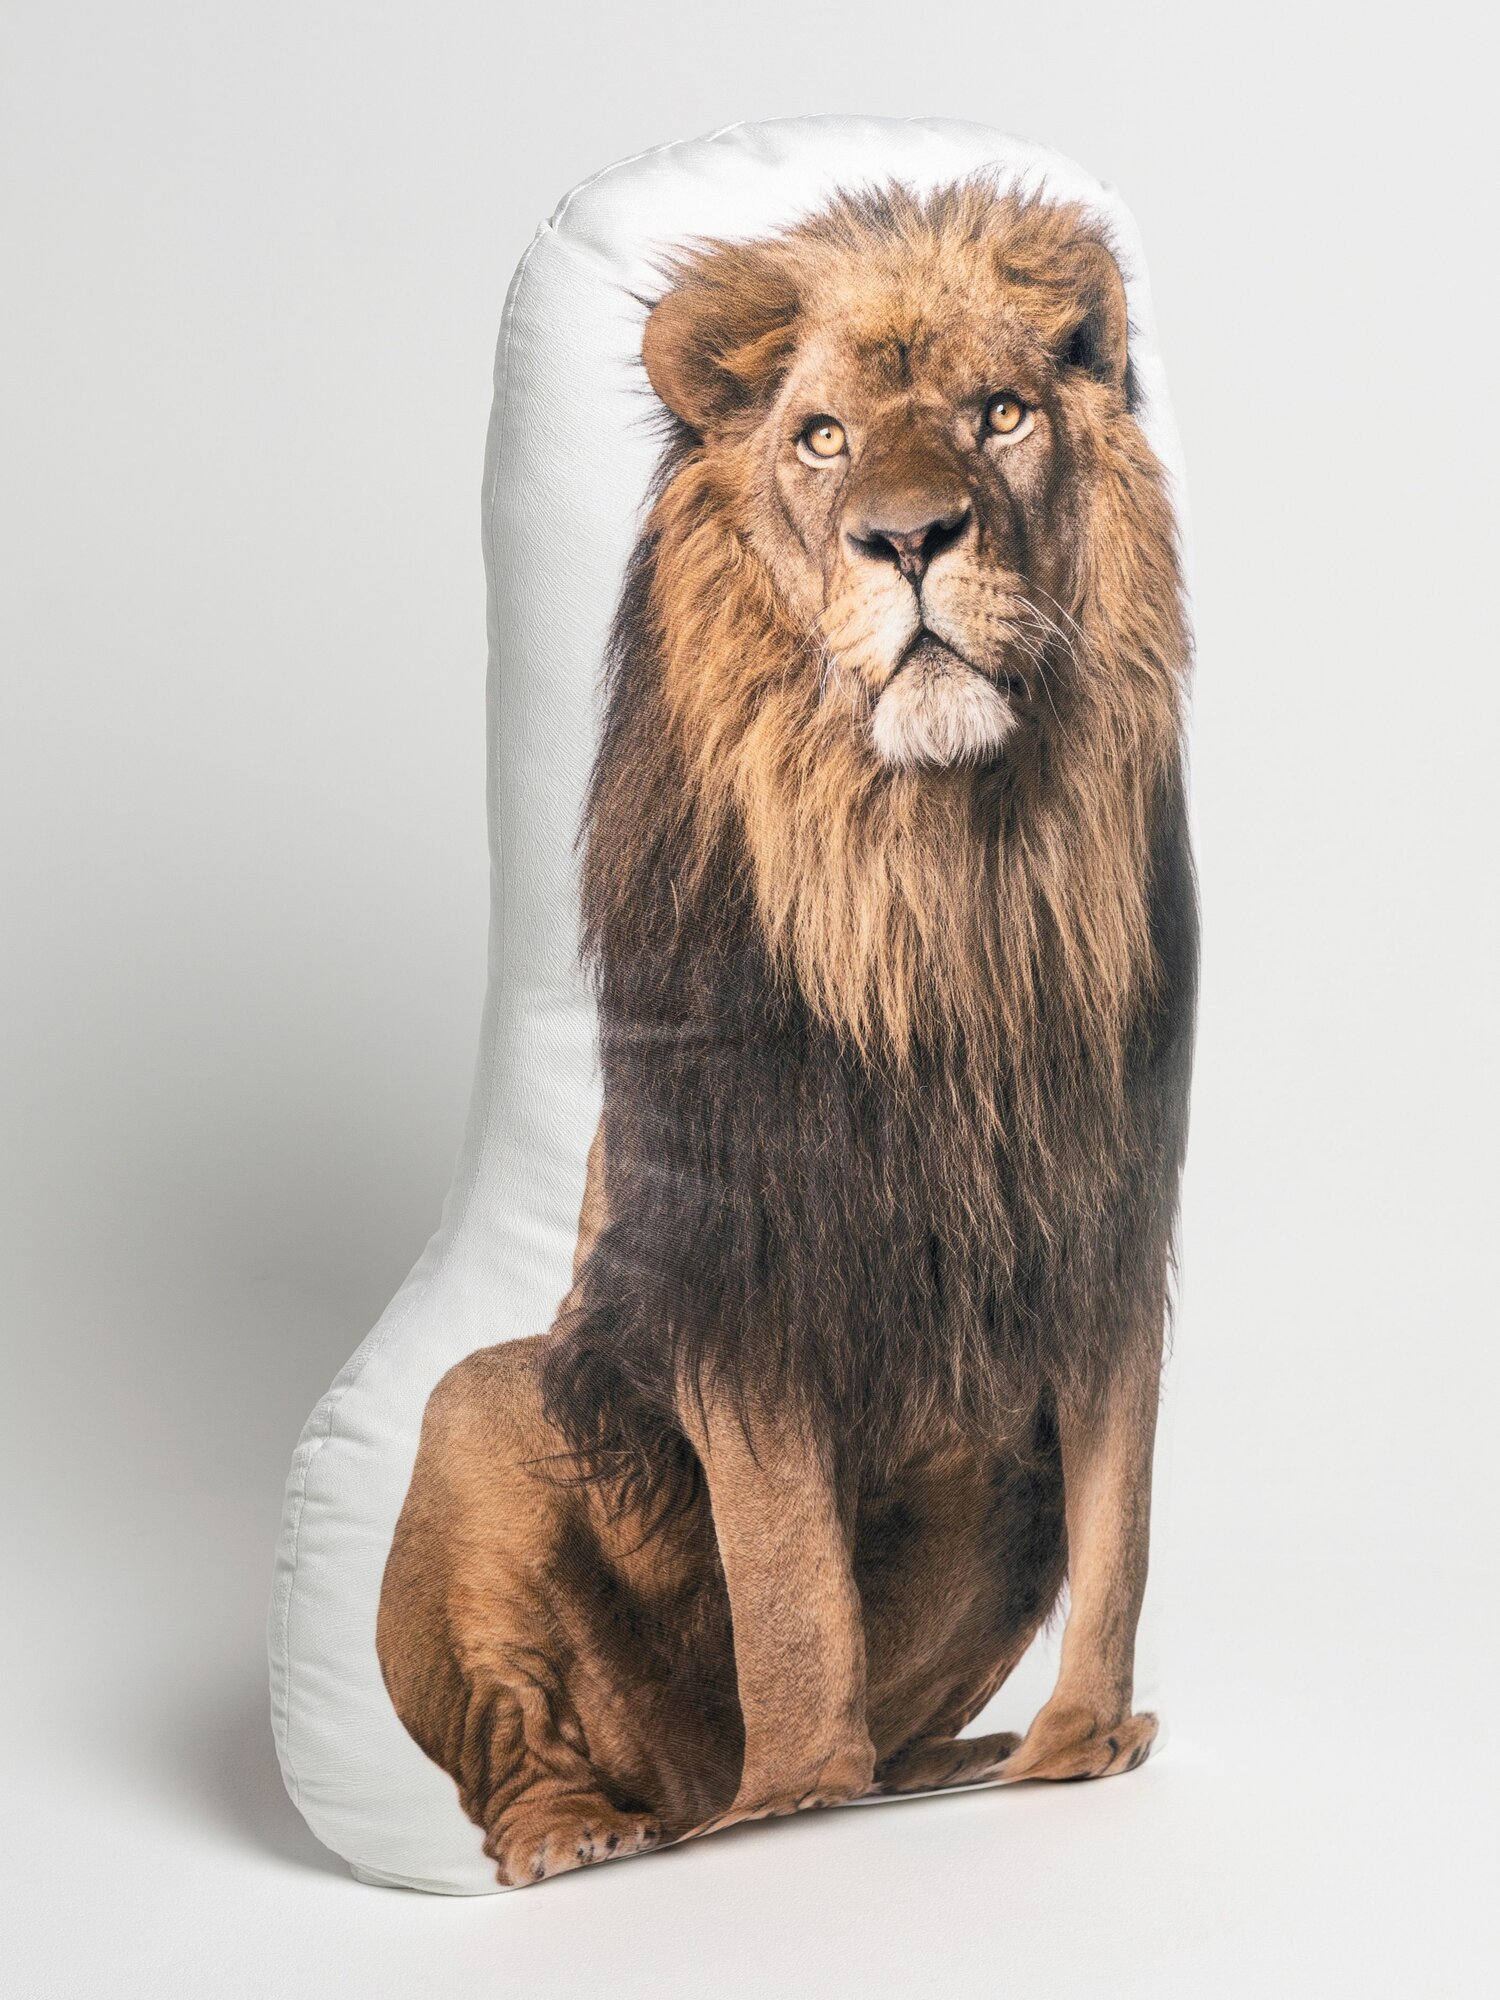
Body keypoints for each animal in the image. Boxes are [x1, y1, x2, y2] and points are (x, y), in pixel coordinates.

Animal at [377, 180, 1197, 1888]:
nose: (909, 538)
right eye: (822, 440)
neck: (939, 881)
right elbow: (794, 1587)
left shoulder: (1105, 1229)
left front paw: (1085, 1745)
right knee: (528, 1756)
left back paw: (949, 1763)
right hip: (482, 1406)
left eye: (1001, 413)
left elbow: (1124, 1523)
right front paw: (805, 1794)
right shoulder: (742, 1274)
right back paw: (612, 1831)